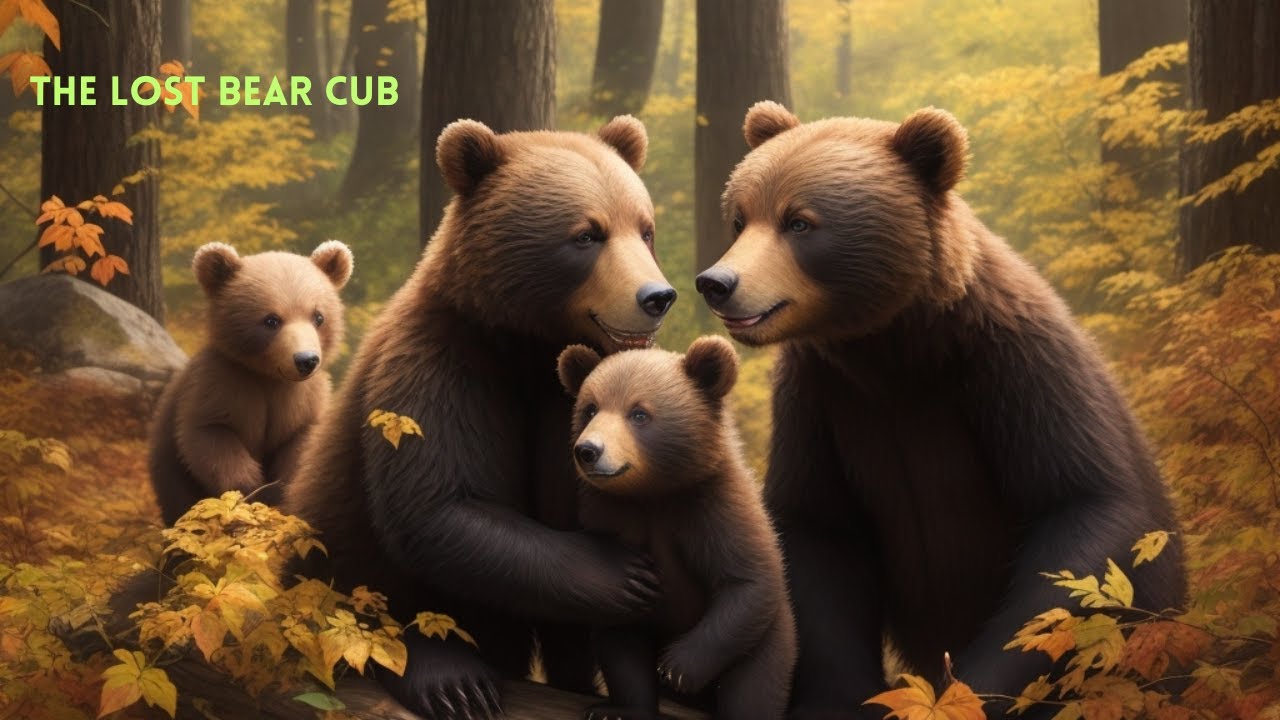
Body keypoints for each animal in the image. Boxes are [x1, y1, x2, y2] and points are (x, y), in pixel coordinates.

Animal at [149, 240, 353, 526]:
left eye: (318, 316)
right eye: (271, 320)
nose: (306, 360)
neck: (269, 377)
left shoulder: (305, 399)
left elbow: (302, 443)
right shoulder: (222, 385)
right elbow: (210, 439)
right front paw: (251, 492)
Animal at [282, 116, 679, 720]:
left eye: (645, 229)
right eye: (587, 235)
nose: (657, 296)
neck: (527, 343)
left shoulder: (572, 395)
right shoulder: (441, 366)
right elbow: (441, 506)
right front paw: (624, 573)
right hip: (334, 552)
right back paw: (449, 678)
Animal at [556, 336, 797, 720]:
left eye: (639, 413)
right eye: (590, 409)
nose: (588, 451)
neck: (654, 492)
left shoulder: (715, 506)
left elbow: (749, 581)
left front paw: (677, 668)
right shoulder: (612, 515)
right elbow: (622, 644)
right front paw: (619, 707)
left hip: (770, 640)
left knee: (755, 687)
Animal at [693, 102, 1188, 718]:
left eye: (799, 222)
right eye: (740, 218)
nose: (717, 283)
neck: (892, 350)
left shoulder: (1014, 368)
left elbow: (1081, 514)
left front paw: (964, 692)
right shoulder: (821, 400)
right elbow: (818, 533)